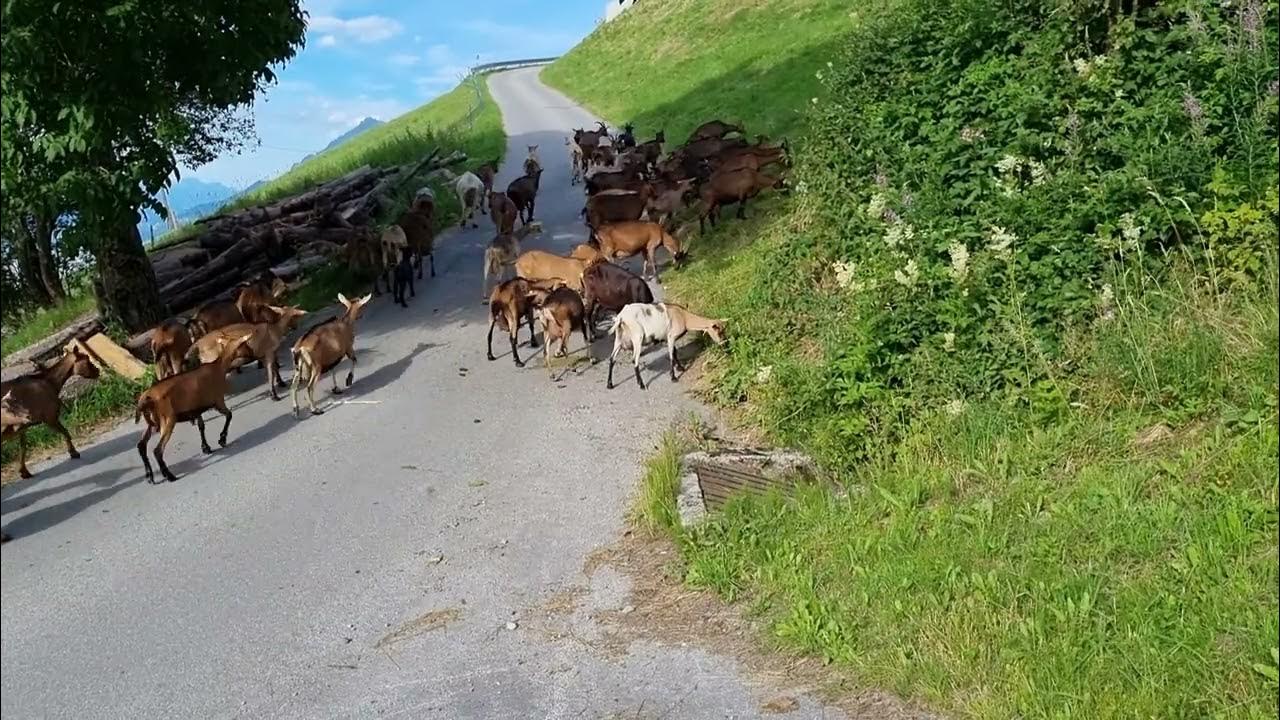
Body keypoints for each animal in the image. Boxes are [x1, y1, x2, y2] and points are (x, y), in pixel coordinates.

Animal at [0, 345, 101, 479]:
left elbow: (23, 447)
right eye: (86, 358)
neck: (49, 382)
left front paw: (24, 472)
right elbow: (65, 432)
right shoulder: (49, 417)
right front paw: (74, 453)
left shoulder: (22, 426)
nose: (97, 371)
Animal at [134, 330, 255, 483]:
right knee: (157, 450)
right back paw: (169, 476)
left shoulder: (196, 409)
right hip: (167, 419)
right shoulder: (218, 401)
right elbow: (229, 415)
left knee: (141, 445)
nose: (253, 353)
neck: (219, 366)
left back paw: (149, 475)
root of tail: (145, 397)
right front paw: (222, 439)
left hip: (151, 423)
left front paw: (206, 447)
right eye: (245, 344)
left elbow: (201, 426)